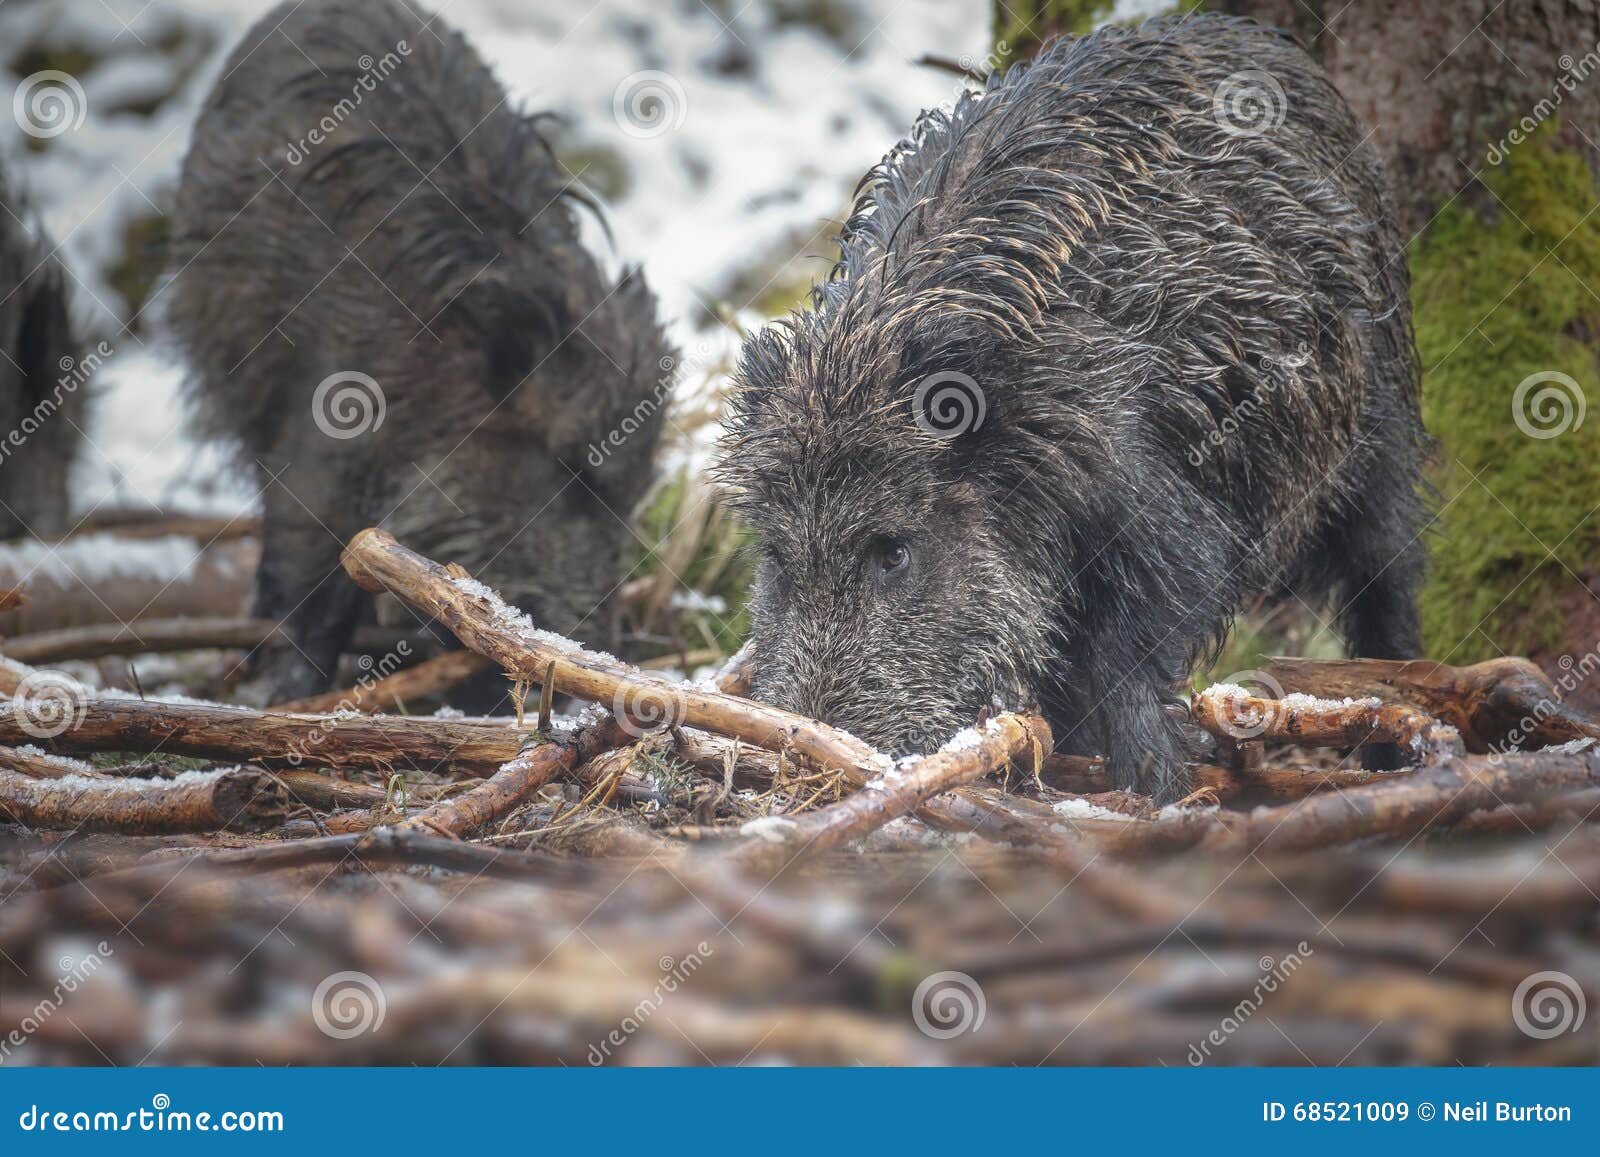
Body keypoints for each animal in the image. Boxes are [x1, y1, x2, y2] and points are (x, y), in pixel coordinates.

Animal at [167, 0, 670, 704]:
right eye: (568, 469)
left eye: (633, 494)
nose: (593, 658)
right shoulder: (322, 435)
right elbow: (309, 564)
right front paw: (290, 695)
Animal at [720, 14, 1428, 800]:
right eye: (778, 554)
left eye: (894, 550)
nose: (808, 764)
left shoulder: (1156, 502)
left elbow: (1132, 646)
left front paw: (1158, 787)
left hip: (1378, 420)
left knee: (1389, 570)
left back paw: (1392, 750)